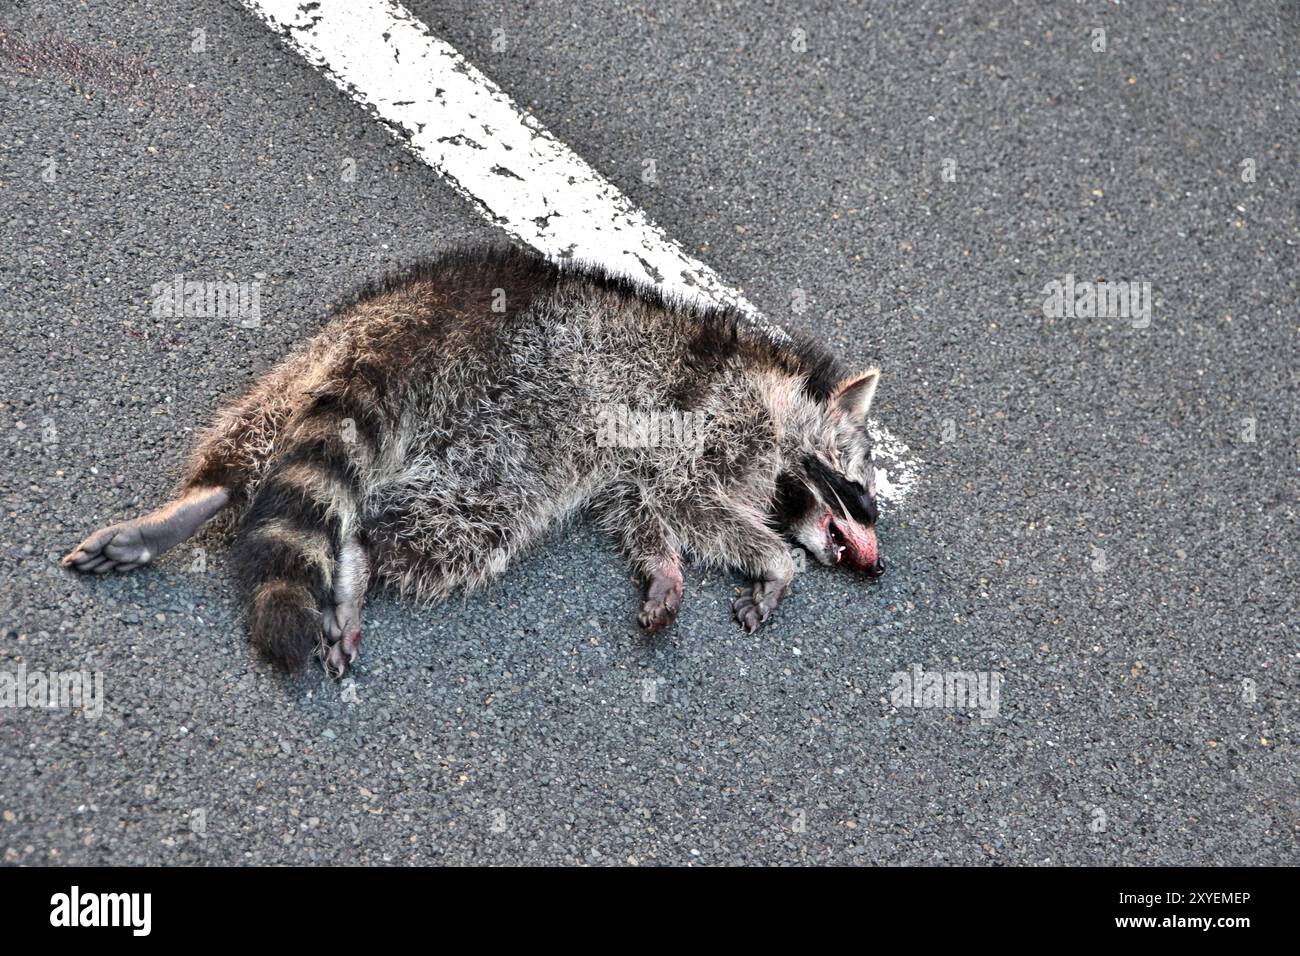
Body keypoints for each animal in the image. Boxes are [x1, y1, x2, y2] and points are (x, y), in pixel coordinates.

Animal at [63, 246, 885, 676]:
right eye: (856, 481)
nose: (875, 551)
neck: (783, 404)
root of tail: (429, 316)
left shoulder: (641, 466)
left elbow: (643, 511)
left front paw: (664, 569)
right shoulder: (711, 419)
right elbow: (690, 502)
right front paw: (777, 562)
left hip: (318, 359)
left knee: (264, 444)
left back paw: (211, 501)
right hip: (519, 411)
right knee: (452, 521)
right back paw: (362, 554)